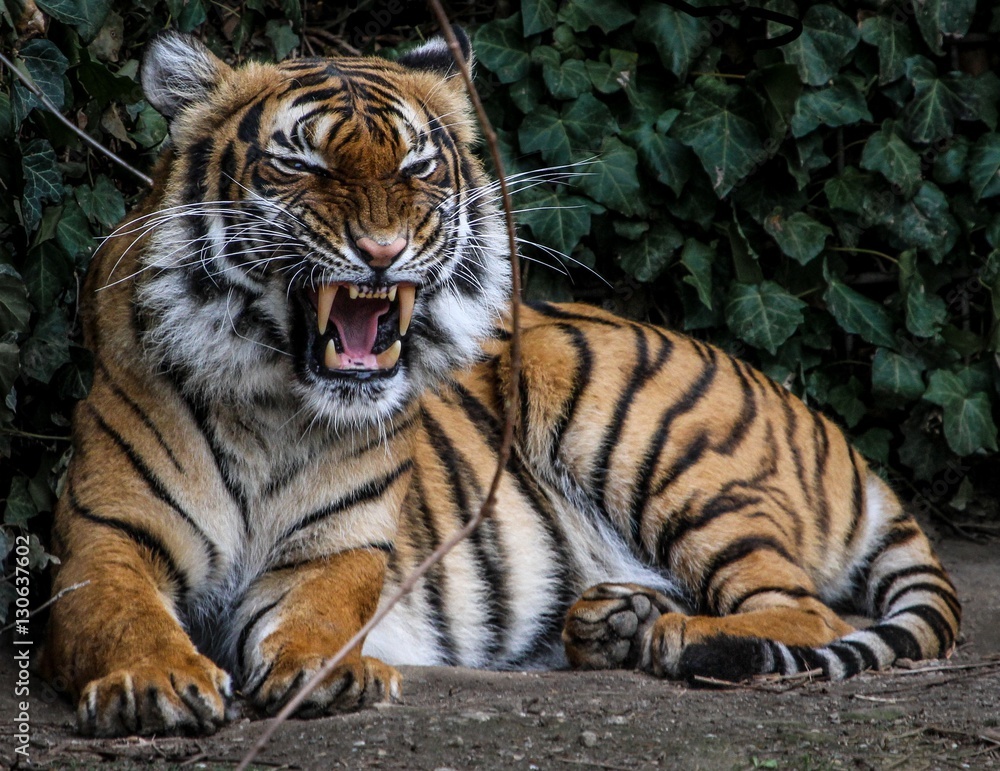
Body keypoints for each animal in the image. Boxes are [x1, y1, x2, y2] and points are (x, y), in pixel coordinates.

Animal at [41, 29, 960, 738]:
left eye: (417, 168)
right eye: (301, 166)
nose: (382, 251)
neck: (274, 406)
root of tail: (817, 420)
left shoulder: (339, 551)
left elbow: (321, 618)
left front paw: (327, 671)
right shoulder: (104, 542)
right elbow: (121, 613)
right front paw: (152, 681)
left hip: (668, 454)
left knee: (811, 611)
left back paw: (681, 639)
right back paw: (617, 622)